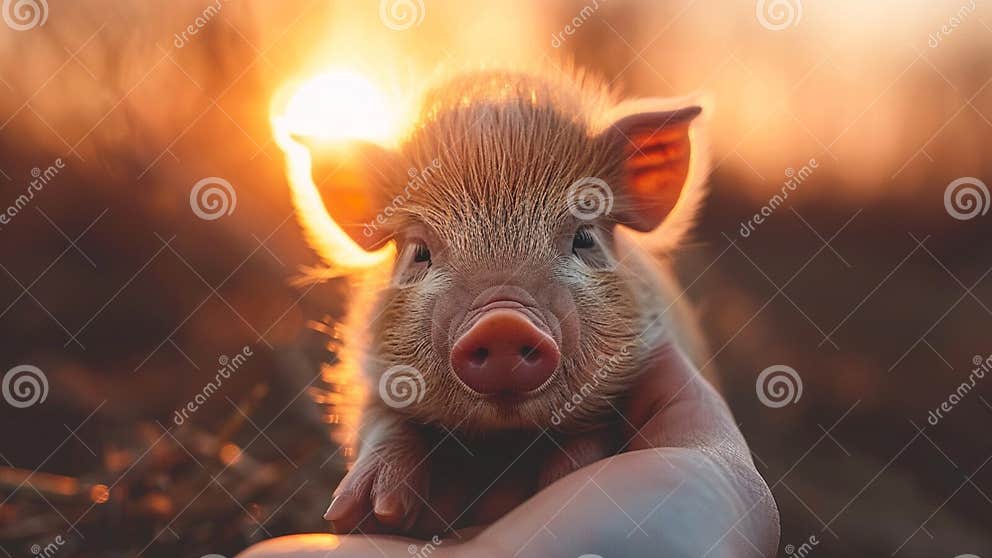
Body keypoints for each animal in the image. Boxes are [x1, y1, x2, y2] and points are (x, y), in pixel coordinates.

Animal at [294, 67, 713, 535]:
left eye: (585, 238)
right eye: (419, 251)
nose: (502, 323)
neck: (503, 442)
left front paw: (567, 480)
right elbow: (384, 421)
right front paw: (365, 515)